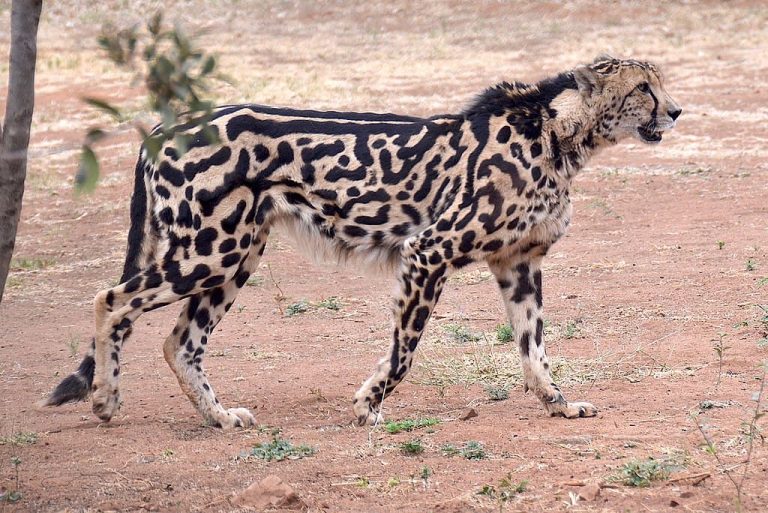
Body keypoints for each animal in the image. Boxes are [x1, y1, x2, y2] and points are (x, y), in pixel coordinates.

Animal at [43, 55, 681, 429]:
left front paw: (558, 403)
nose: (676, 111)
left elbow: (534, 350)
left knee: (180, 343)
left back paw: (220, 418)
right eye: (643, 88)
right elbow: (405, 349)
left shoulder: (518, 264)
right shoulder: (430, 250)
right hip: (208, 252)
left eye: (660, 85)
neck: (552, 130)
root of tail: (166, 125)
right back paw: (105, 401)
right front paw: (369, 403)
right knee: (111, 300)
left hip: (235, 255)